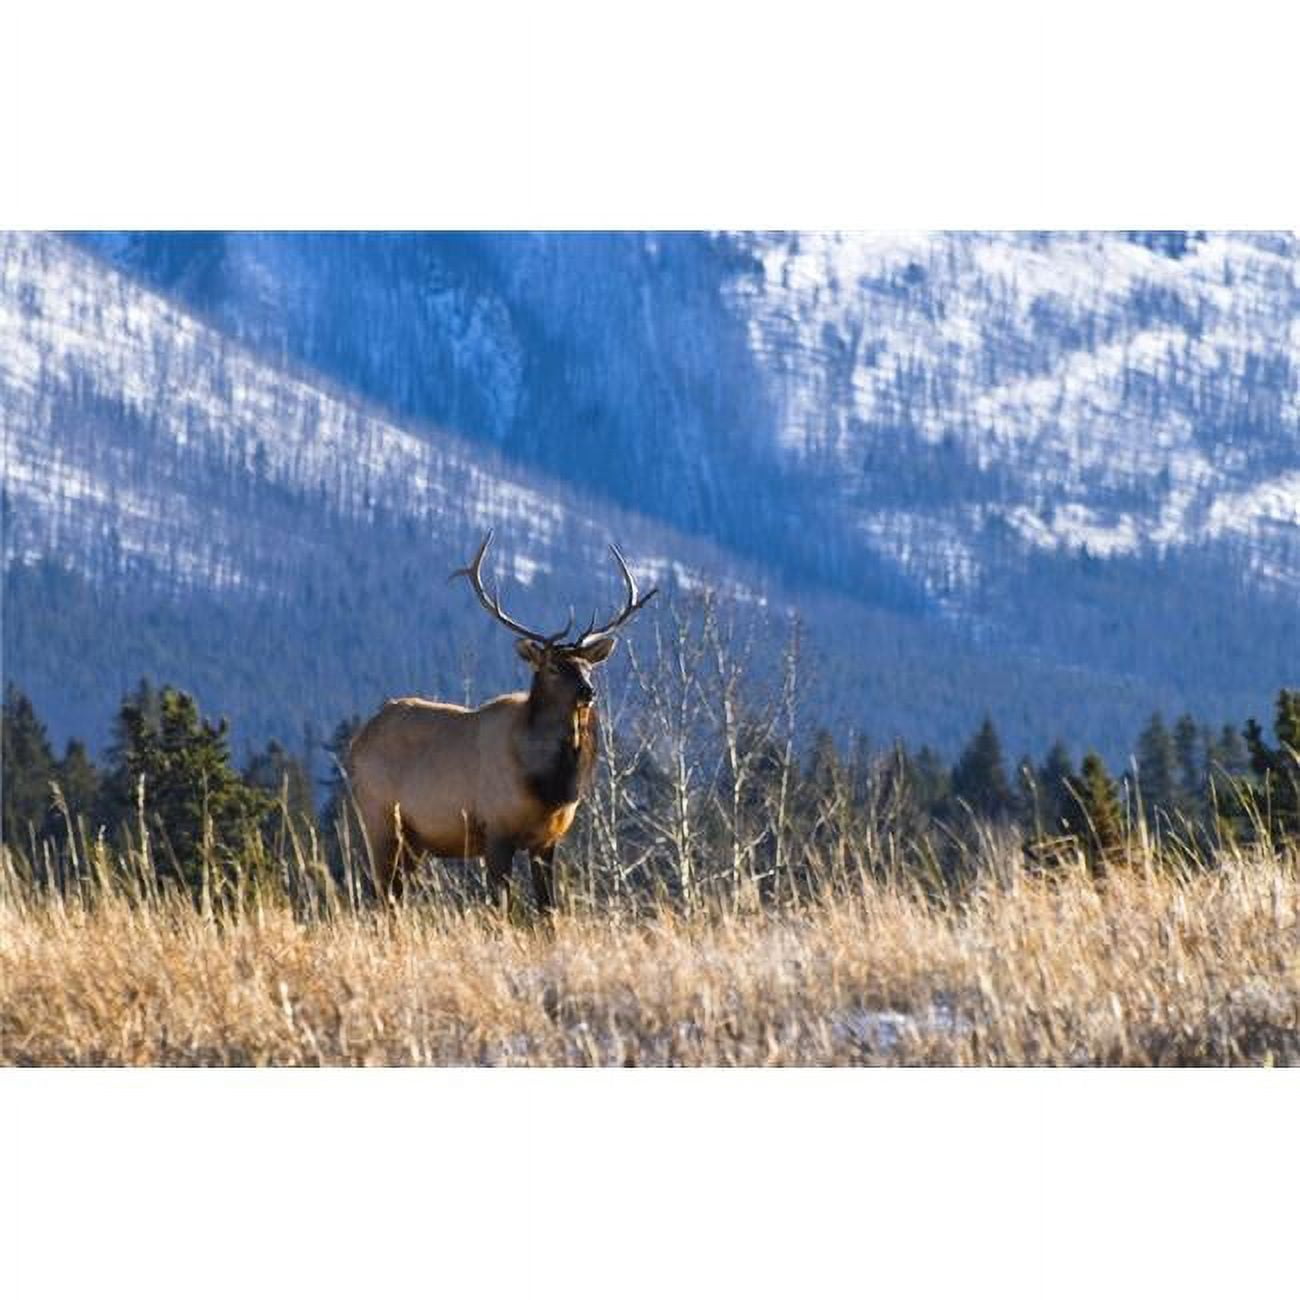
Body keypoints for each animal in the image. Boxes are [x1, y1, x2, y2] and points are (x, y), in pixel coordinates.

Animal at [348, 530, 657, 911]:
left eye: (588, 666)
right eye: (553, 667)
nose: (588, 691)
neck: (549, 787)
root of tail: (355, 744)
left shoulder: (547, 842)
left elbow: (548, 908)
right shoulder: (495, 830)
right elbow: (503, 907)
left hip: (413, 841)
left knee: (395, 896)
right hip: (379, 819)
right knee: (381, 892)